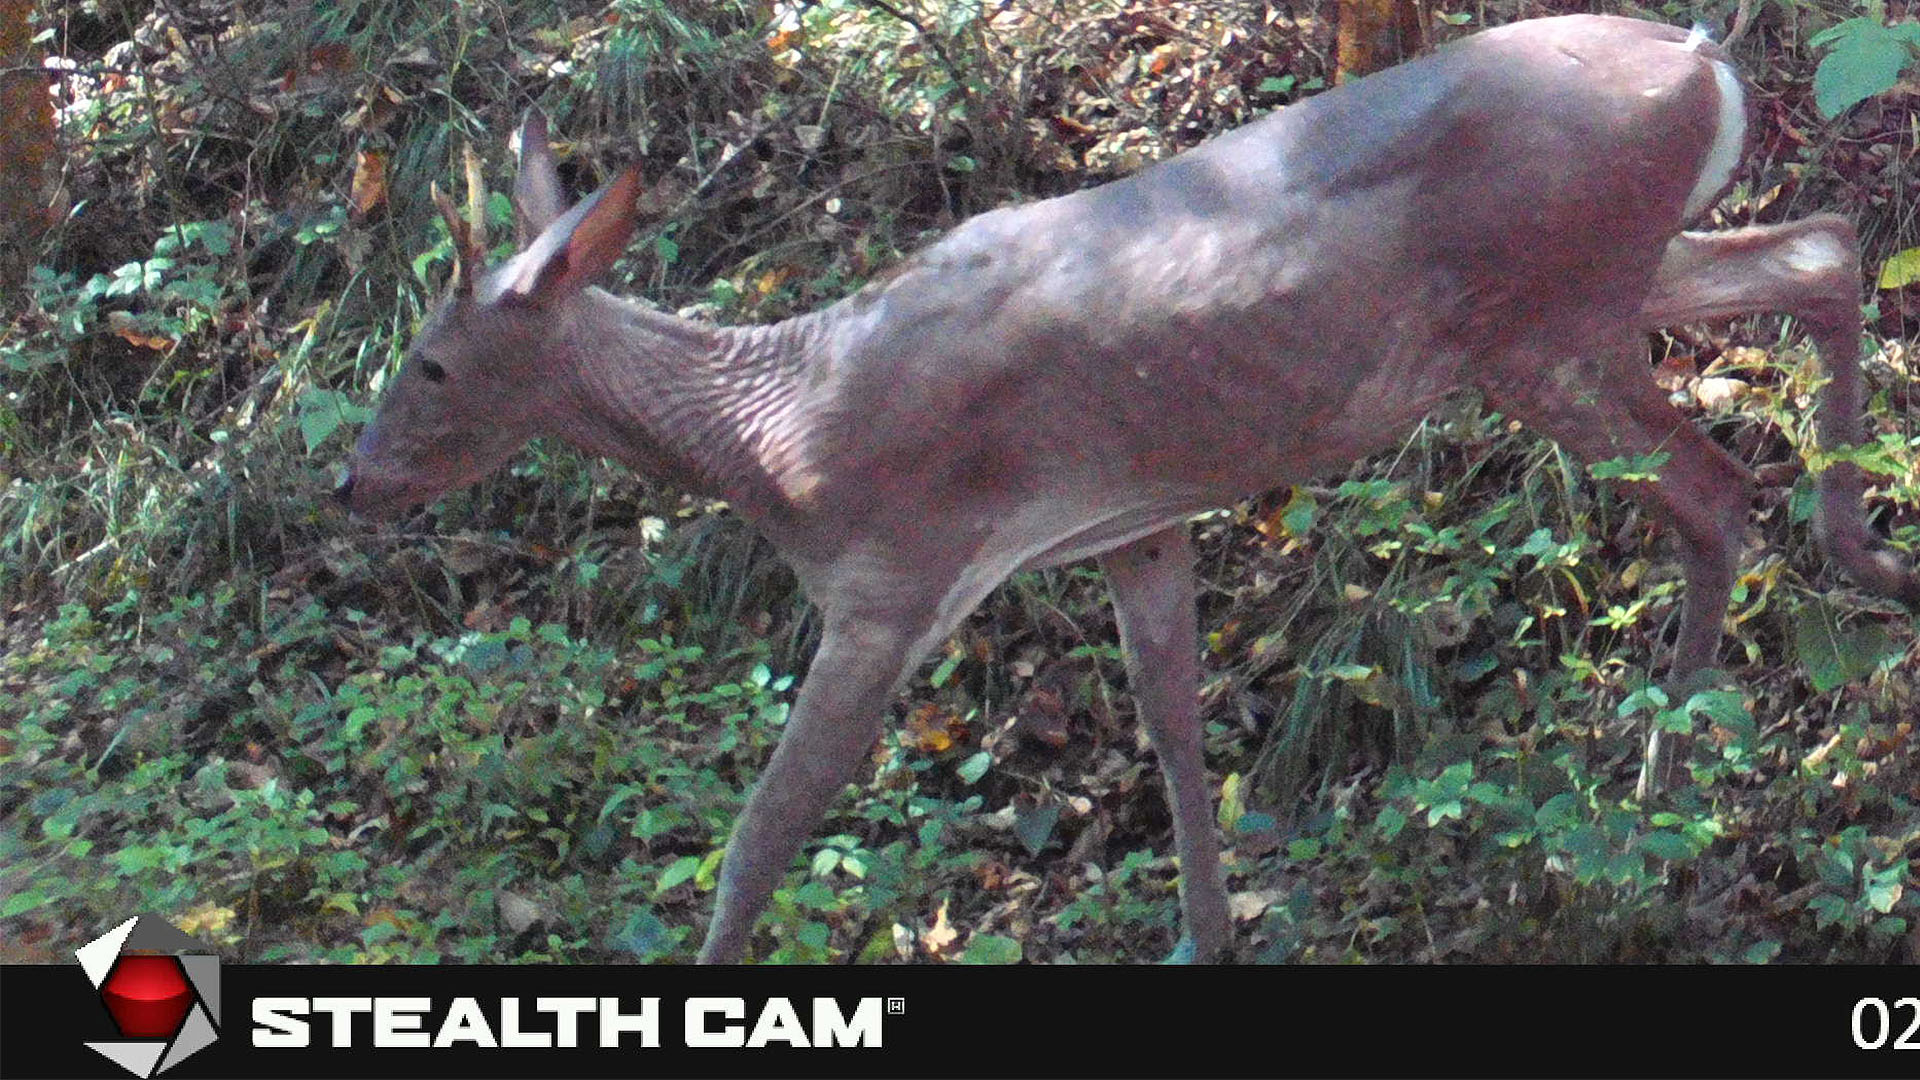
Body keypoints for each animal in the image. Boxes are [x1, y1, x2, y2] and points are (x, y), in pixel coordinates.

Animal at [336, 14, 1919, 962]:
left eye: (428, 361)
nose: (351, 481)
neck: (780, 429)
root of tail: (1707, 60)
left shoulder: (894, 574)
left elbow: (766, 826)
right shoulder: (1134, 522)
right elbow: (1171, 732)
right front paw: (1205, 937)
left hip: (1545, 321)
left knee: (1718, 490)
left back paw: (1652, 818)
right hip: (1609, 281)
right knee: (1823, 251)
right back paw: (1866, 566)